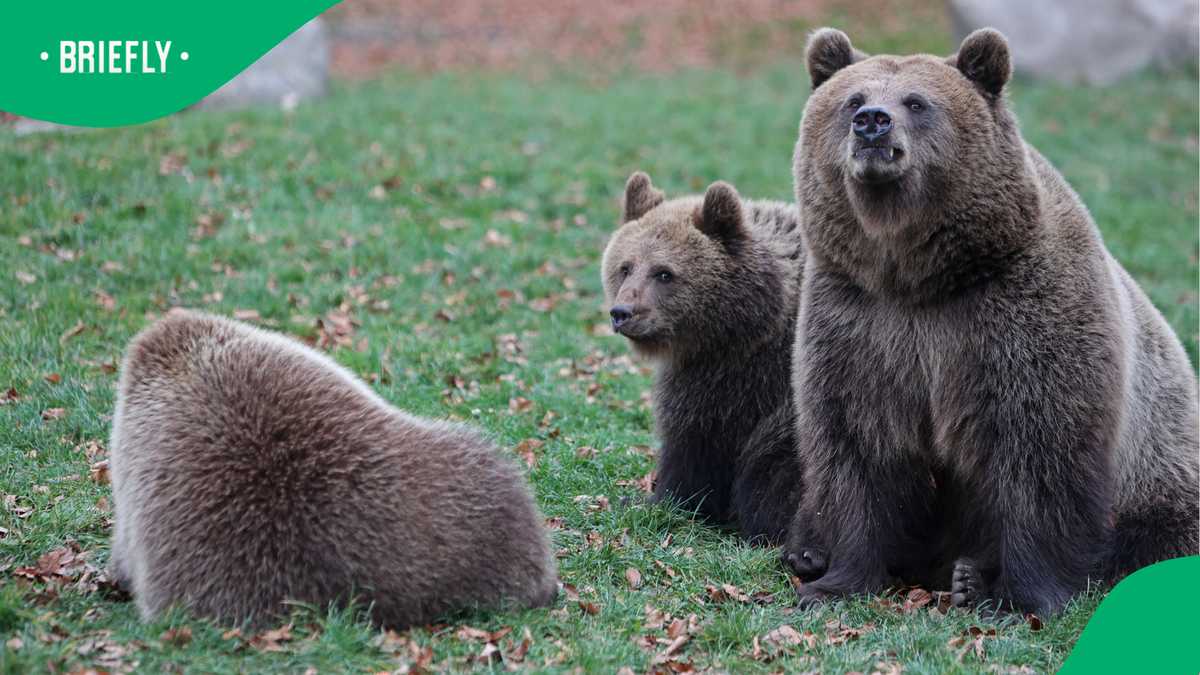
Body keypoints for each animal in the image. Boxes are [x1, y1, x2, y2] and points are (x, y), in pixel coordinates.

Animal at [601, 171, 805, 544]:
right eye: (625, 267)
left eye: (664, 272)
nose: (622, 312)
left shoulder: (738, 376)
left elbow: (696, 442)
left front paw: (653, 500)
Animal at [781, 27, 1199, 615]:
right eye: (852, 100)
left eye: (917, 102)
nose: (872, 123)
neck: (919, 277)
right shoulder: (860, 319)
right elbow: (858, 445)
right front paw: (833, 581)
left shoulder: (1017, 317)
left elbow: (1039, 453)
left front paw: (1018, 595)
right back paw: (809, 550)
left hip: (1163, 465)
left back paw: (971, 577)